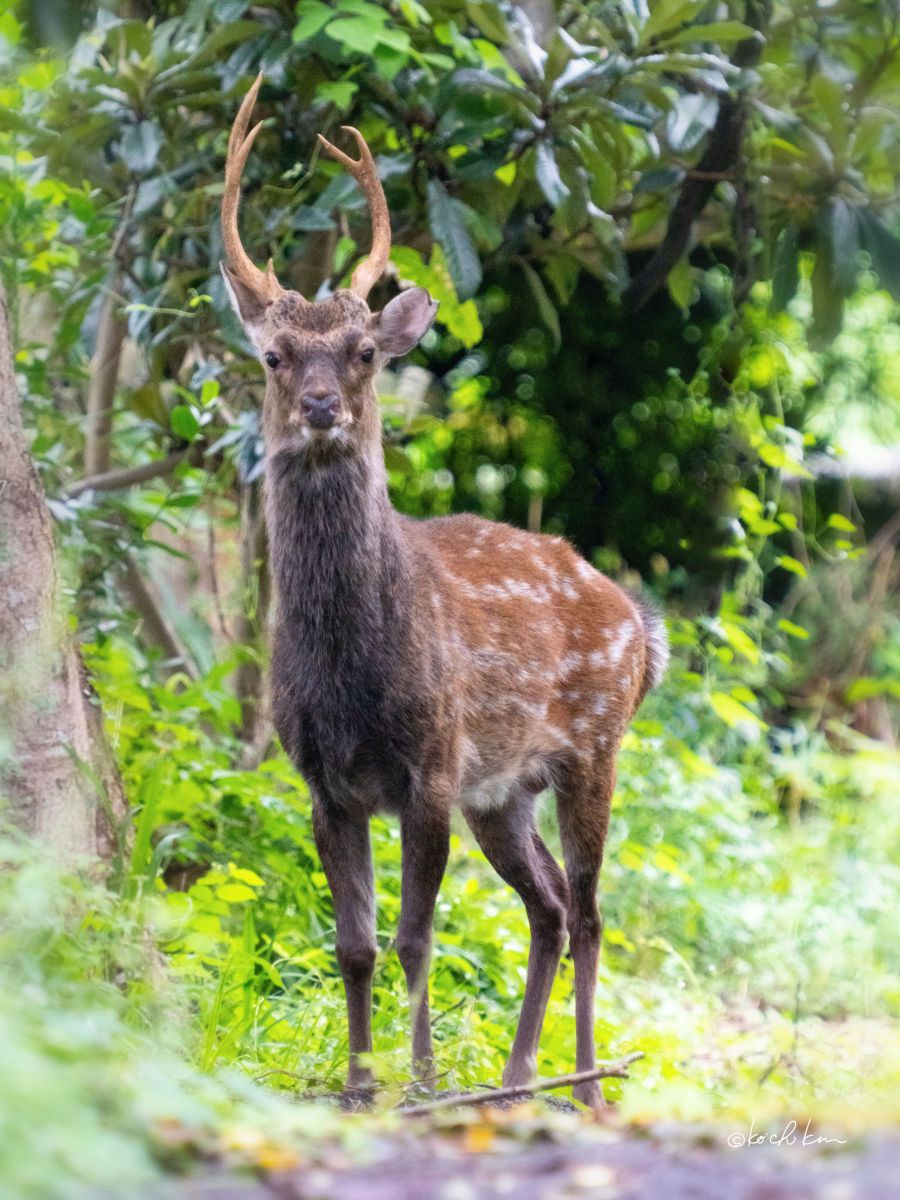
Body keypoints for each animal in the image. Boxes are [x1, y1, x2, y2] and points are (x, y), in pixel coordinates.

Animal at [219, 75, 668, 1109]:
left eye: (363, 352)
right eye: (273, 356)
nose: (320, 408)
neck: (351, 666)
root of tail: (642, 623)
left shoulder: (429, 763)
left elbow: (417, 938)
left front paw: (418, 1084)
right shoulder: (324, 780)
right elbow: (353, 943)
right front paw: (359, 1085)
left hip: (593, 746)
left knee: (591, 911)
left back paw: (584, 1084)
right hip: (502, 792)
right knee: (548, 906)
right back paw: (513, 1078)